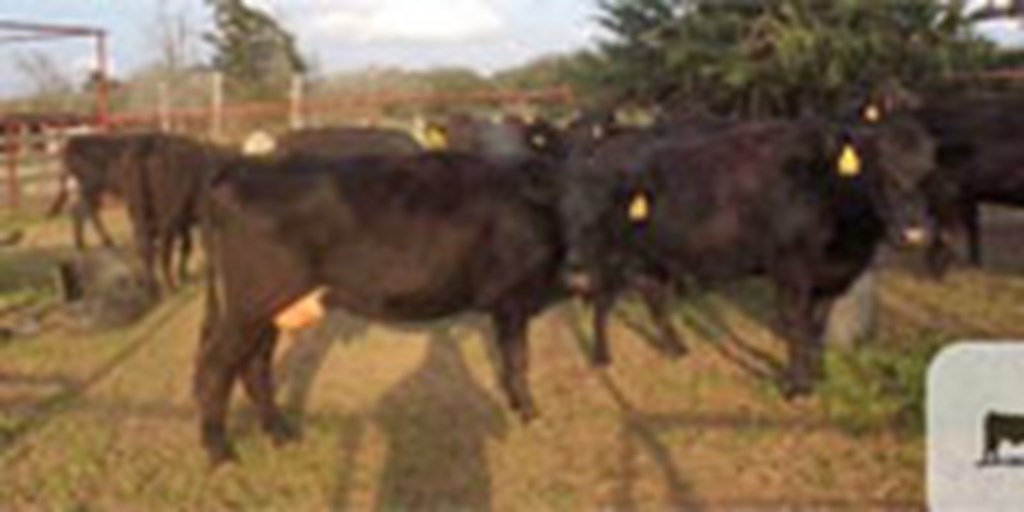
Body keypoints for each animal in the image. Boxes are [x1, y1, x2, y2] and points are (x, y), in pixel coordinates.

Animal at [195, 151, 565, 465]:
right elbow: (518, 360)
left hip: (267, 311)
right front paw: (531, 414)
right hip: (252, 304)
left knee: (254, 365)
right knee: (216, 365)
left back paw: (281, 434)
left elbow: (512, 359)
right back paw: (221, 454)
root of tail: (243, 168)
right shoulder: (513, 298)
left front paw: (520, 408)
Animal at [560, 114, 936, 396]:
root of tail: (608, 145)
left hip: (655, 255)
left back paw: (677, 349)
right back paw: (601, 357)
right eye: (878, 169)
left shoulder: (830, 278)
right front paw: (796, 386)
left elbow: (816, 327)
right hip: (609, 251)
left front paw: (819, 377)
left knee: (653, 296)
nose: (913, 232)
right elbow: (795, 324)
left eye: (930, 171)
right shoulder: (789, 270)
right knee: (602, 300)